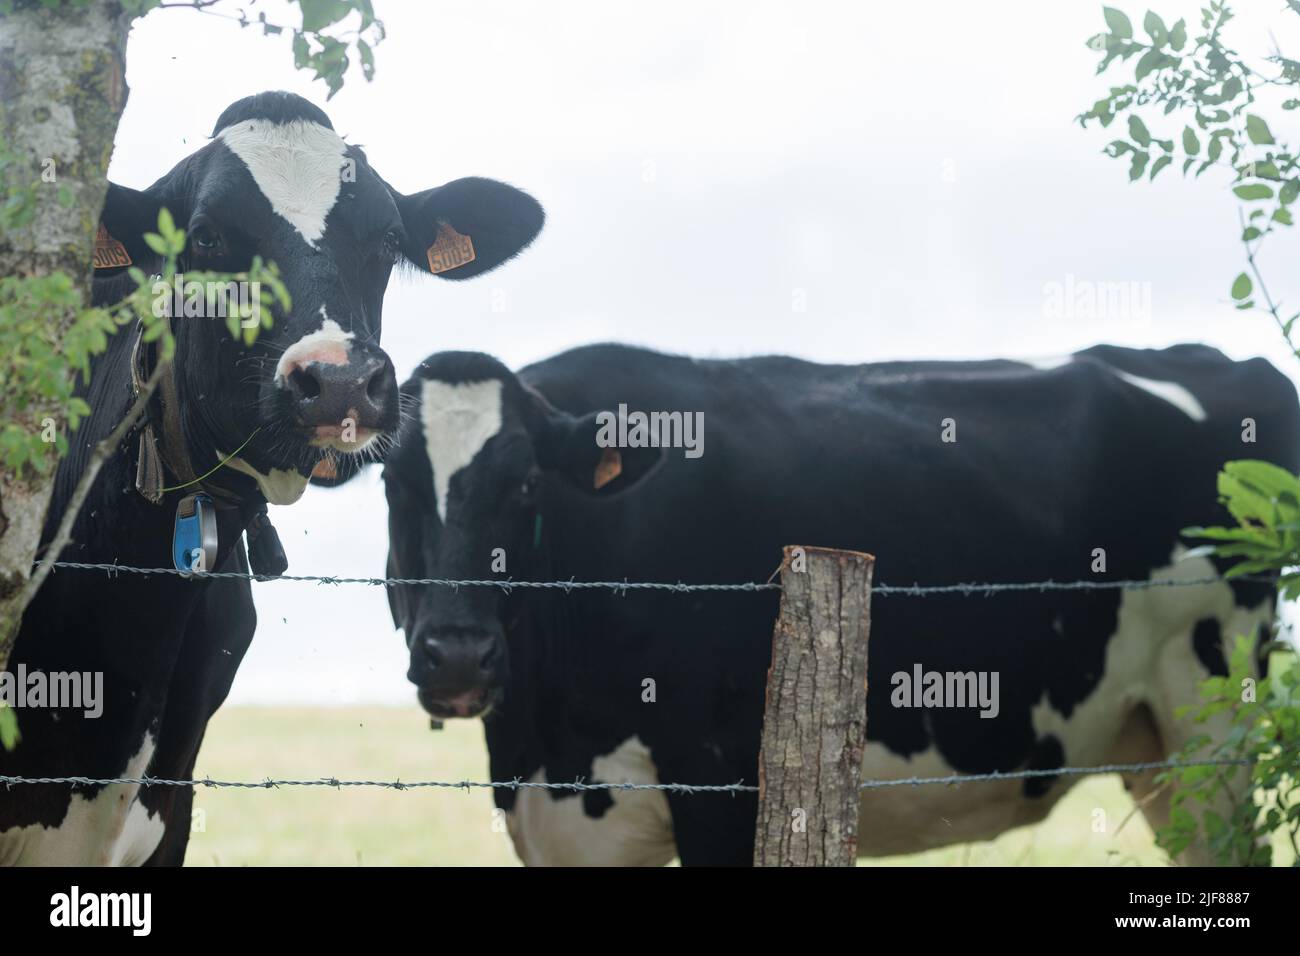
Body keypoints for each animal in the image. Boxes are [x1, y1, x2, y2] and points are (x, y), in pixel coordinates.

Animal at [372, 342, 1298, 865]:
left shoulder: (720, 784)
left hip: (1212, 717)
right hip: (1156, 749)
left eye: (526, 485)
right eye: (390, 481)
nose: (457, 655)